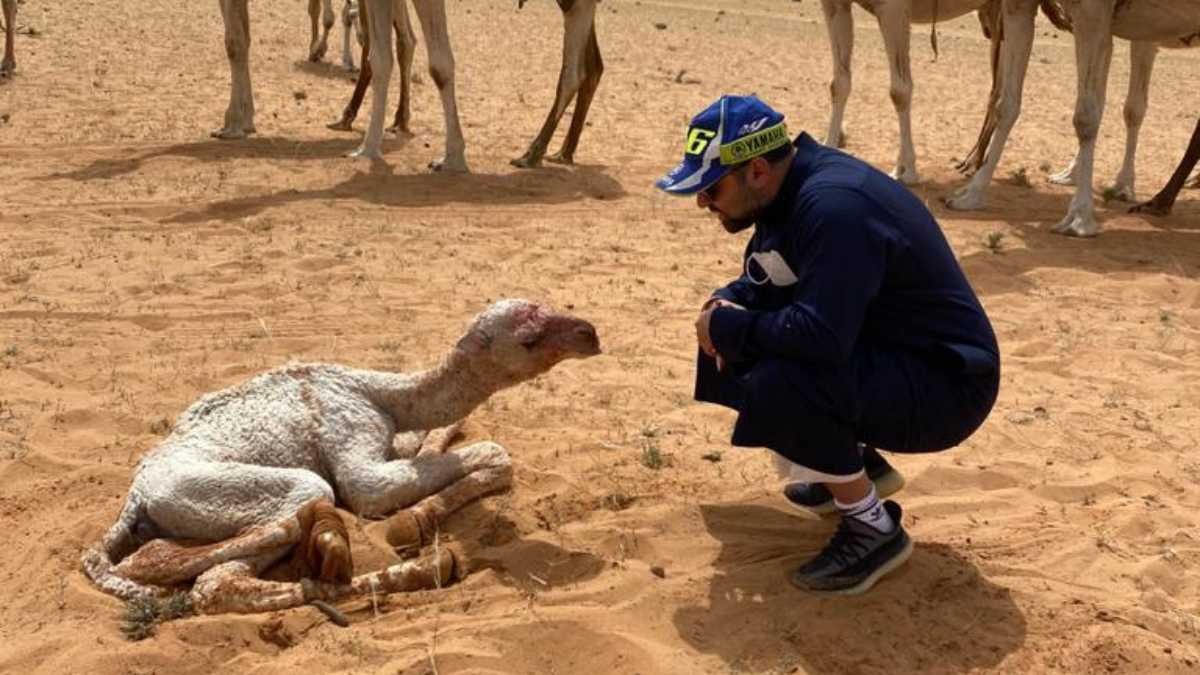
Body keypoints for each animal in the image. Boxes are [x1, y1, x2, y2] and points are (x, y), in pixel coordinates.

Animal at [81, 299, 601, 616]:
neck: (382, 394)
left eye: (550, 305)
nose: (589, 334)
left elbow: (438, 439)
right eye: (529, 338)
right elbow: (376, 486)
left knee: (216, 580)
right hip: (208, 489)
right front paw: (406, 523)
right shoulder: (353, 444)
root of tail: (137, 494)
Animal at [945, 0, 1200, 236]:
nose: (987, 29)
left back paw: (1160, 201)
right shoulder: (1020, 5)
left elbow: (1091, 116)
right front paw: (970, 194)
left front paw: (1080, 217)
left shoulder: (1098, 13)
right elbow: (1006, 106)